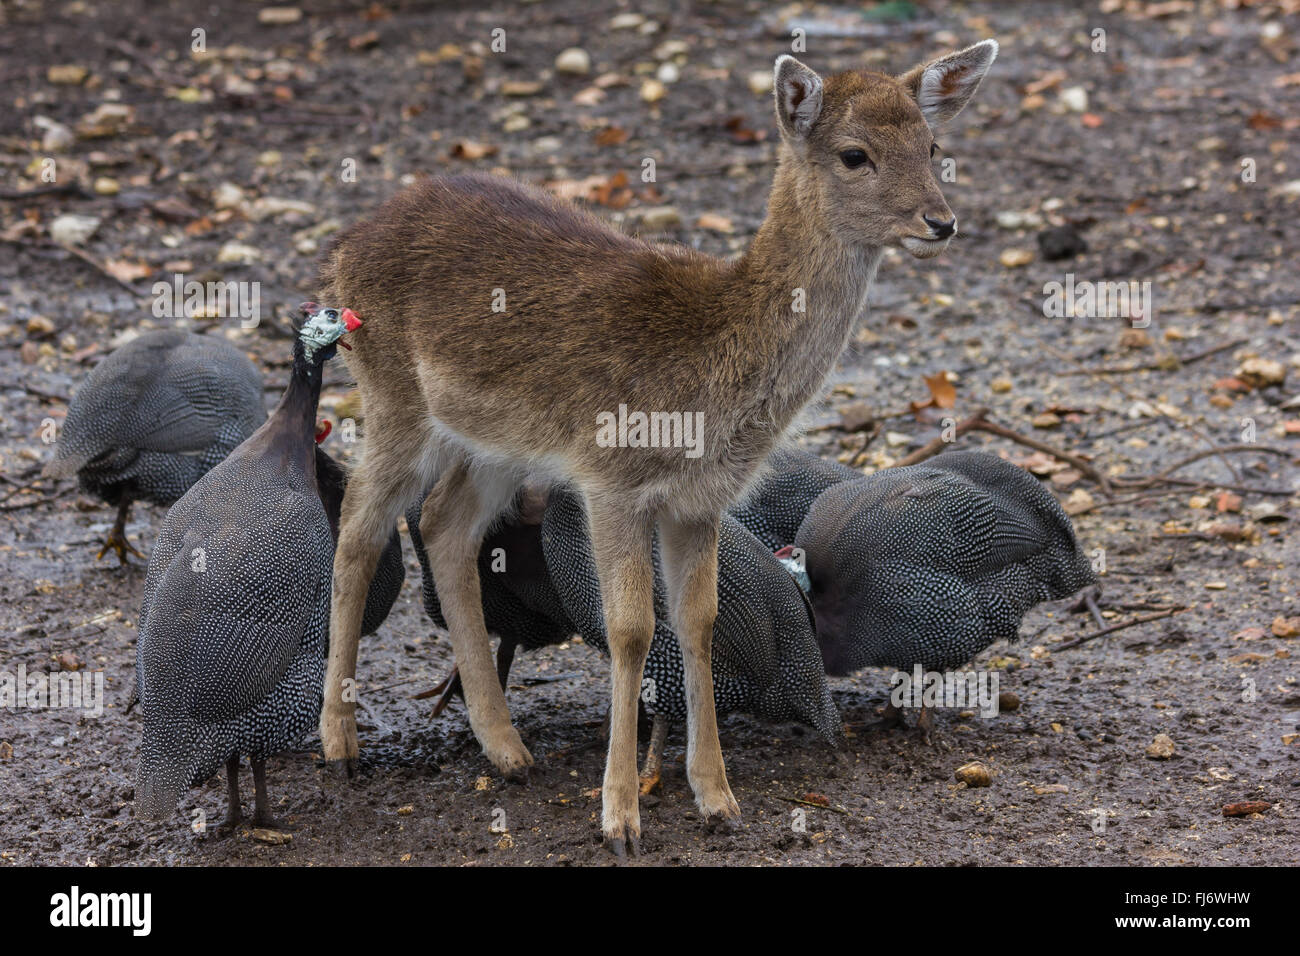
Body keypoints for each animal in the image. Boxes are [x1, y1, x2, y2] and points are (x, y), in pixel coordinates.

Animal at [317, 40, 998, 856]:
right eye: (854, 154)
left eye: (932, 147)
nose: (942, 221)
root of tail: (343, 248)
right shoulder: (609, 474)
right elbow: (632, 629)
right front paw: (619, 818)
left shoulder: (701, 499)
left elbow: (697, 621)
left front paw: (717, 798)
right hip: (393, 392)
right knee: (359, 523)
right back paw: (340, 744)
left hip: (495, 440)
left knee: (444, 523)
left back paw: (507, 748)